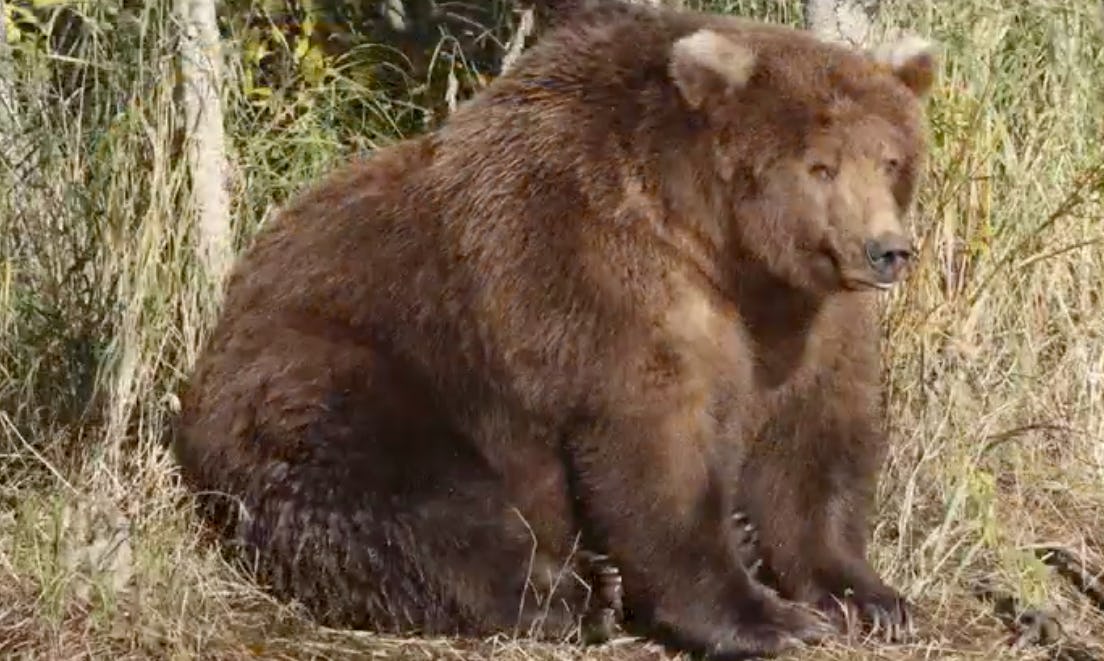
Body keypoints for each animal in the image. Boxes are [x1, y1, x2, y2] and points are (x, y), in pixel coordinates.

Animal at [172, 1, 937, 658]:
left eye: (891, 159)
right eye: (821, 165)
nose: (886, 250)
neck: (720, 247)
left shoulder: (804, 319)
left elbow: (812, 442)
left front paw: (868, 597)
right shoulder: (601, 278)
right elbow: (656, 450)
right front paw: (766, 617)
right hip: (344, 367)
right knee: (411, 499)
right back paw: (578, 595)